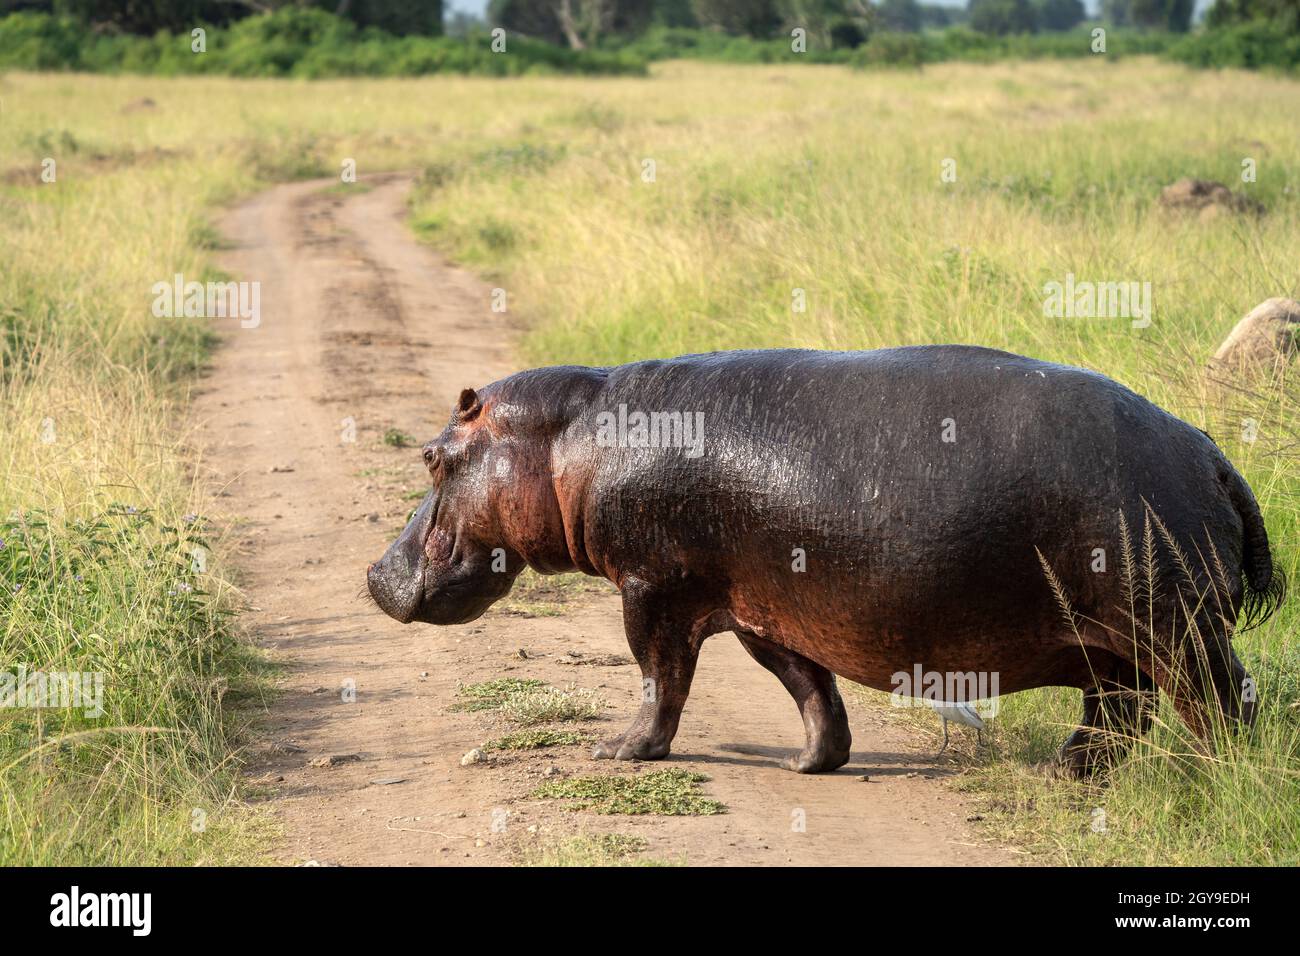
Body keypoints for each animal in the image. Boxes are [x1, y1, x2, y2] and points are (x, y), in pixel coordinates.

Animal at [367, 346, 1284, 776]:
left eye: (430, 458)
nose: (375, 575)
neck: (566, 436)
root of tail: (1213, 455)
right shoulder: (758, 603)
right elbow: (808, 686)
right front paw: (811, 764)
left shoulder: (652, 588)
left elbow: (660, 679)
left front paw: (618, 752)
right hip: (1115, 641)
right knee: (1118, 715)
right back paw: (1066, 775)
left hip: (1175, 628)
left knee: (1219, 705)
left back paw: (1223, 781)